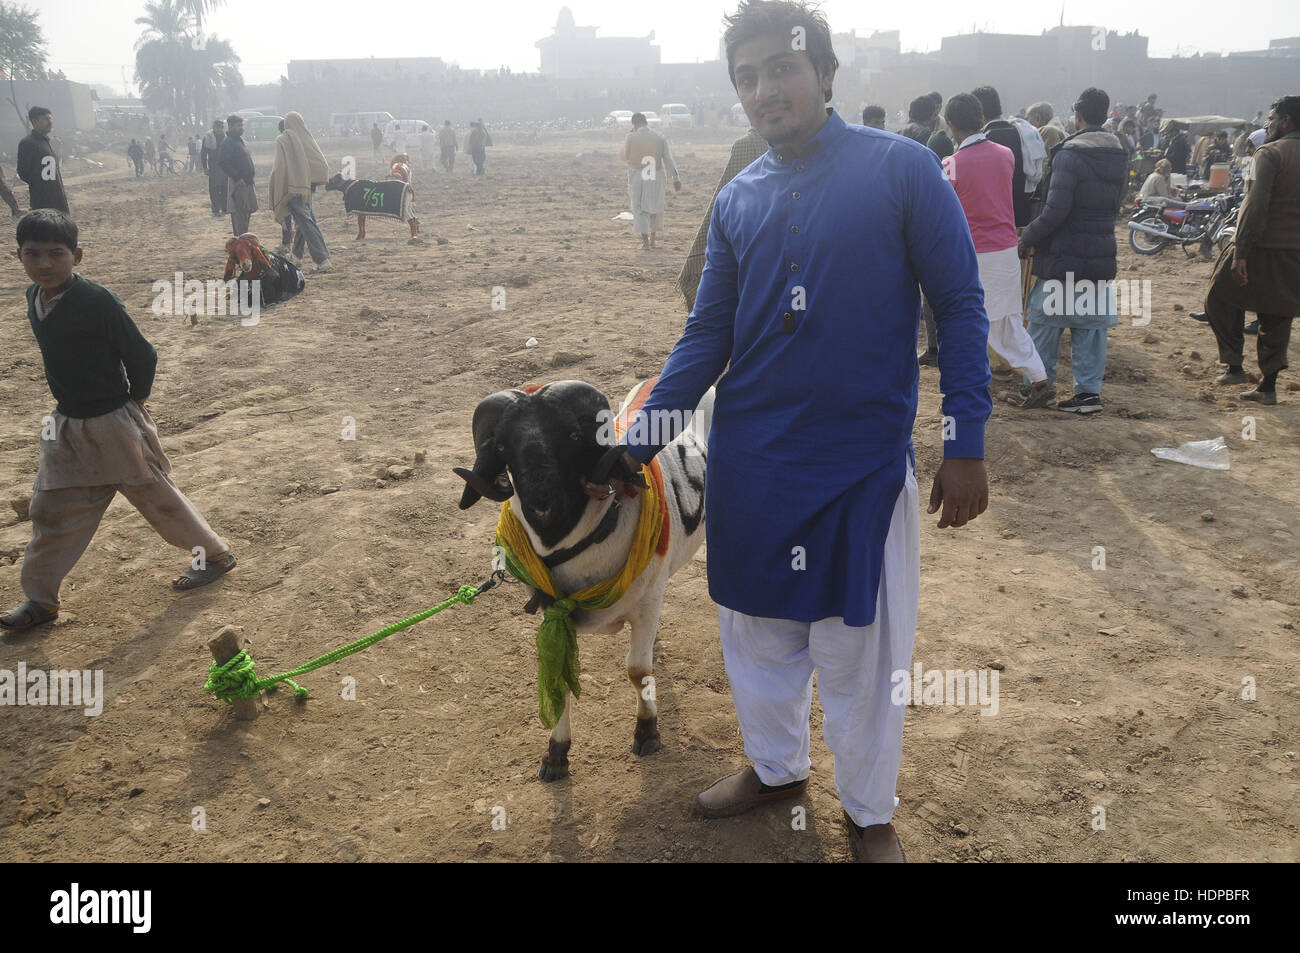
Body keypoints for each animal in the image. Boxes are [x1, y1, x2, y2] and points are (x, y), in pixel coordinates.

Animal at [454, 378, 712, 781]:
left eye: (573, 436)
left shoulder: (647, 602)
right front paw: (556, 754)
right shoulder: (552, 610)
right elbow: (556, 672)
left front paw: (647, 733)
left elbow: (637, 671)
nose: (541, 501)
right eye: (502, 446)